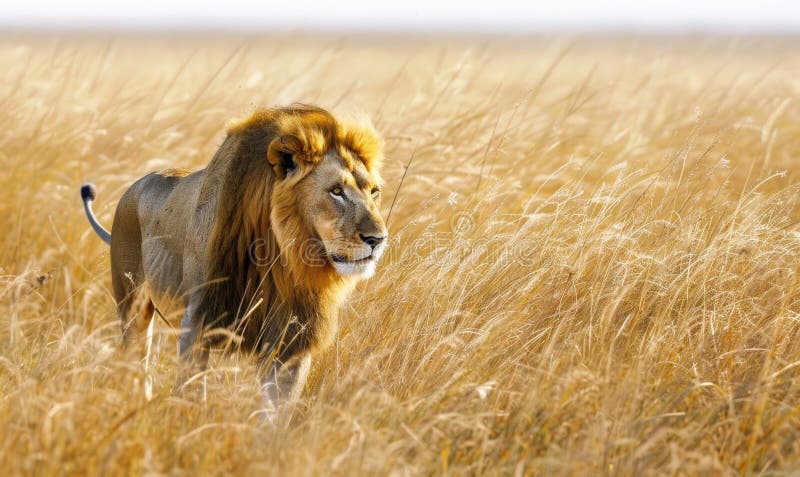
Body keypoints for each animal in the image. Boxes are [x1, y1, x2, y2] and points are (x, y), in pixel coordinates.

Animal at [81, 105, 388, 420]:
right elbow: (191, 391)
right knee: (136, 361)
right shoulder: (199, 320)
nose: (378, 239)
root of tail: (134, 187)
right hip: (132, 307)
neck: (281, 258)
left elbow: (276, 412)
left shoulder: (292, 339)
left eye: (374, 192)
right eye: (336, 191)